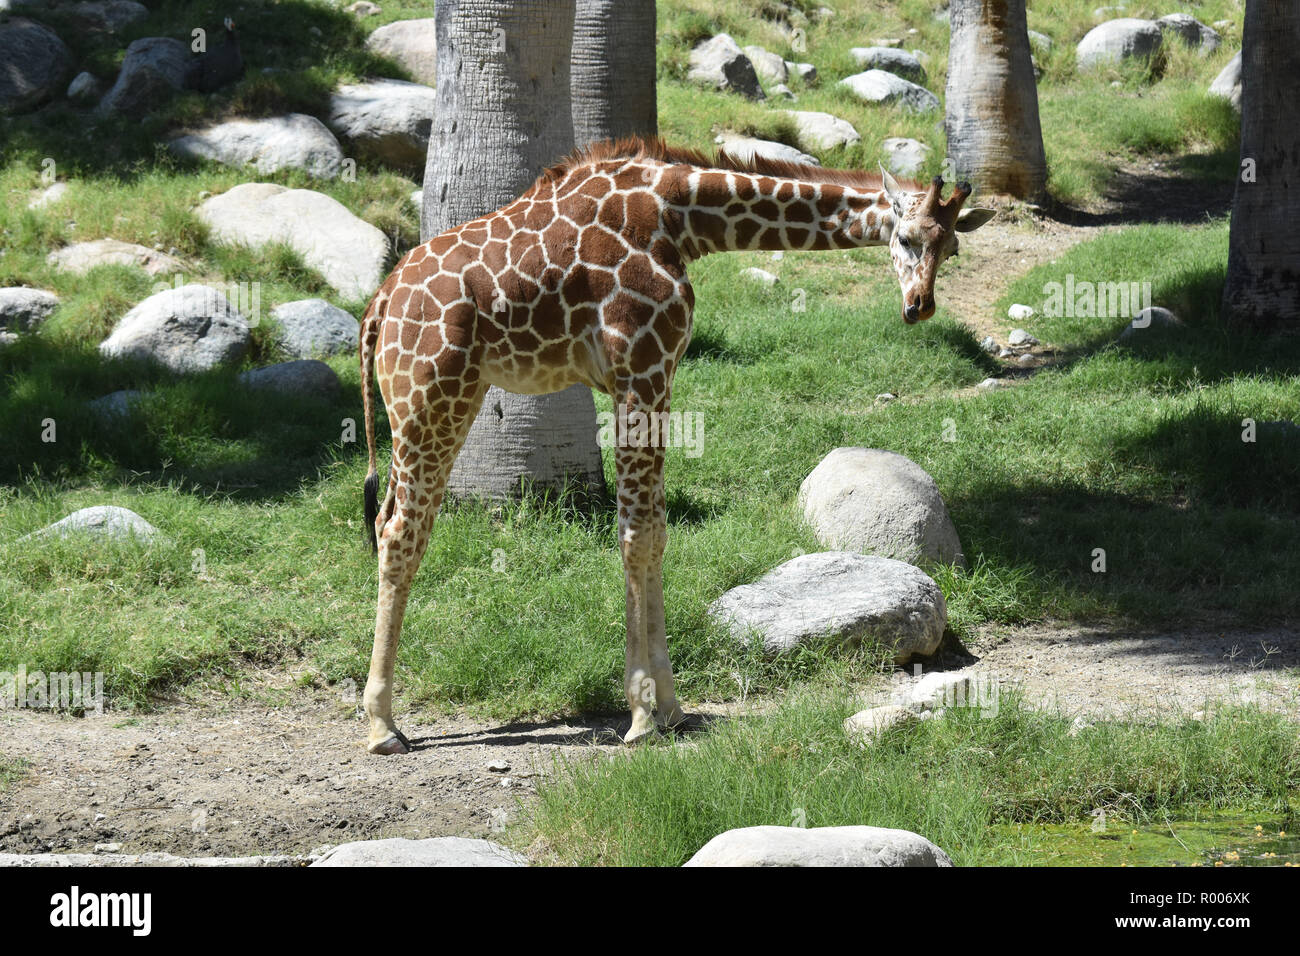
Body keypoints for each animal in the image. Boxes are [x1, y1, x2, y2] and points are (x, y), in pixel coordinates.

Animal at [358, 137, 995, 754]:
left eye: (952, 249)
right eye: (905, 238)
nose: (919, 307)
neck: (680, 218)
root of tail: (379, 304)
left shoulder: (655, 374)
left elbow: (658, 533)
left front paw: (670, 708)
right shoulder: (641, 366)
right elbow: (636, 534)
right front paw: (642, 714)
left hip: (429, 404)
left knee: (386, 518)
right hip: (431, 395)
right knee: (401, 532)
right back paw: (382, 726)